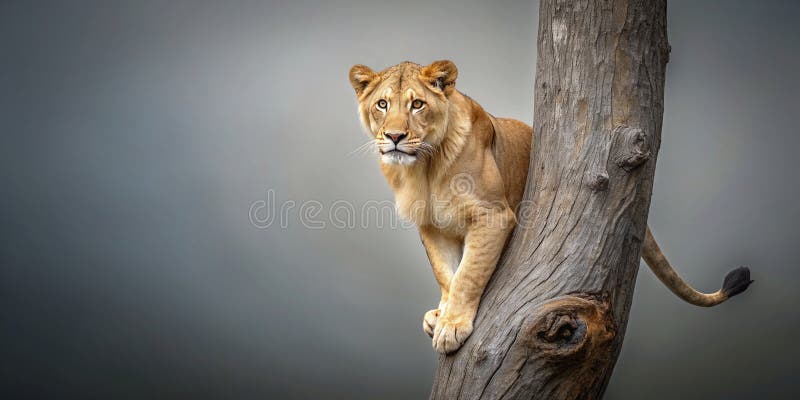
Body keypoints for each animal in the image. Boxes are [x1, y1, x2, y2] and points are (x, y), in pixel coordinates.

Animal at [348, 60, 752, 354]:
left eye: (417, 104)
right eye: (382, 104)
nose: (394, 137)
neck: (424, 168)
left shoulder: (493, 216)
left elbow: (468, 275)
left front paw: (452, 325)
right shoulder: (432, 226)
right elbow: (446, 274)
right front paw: (442, 314)